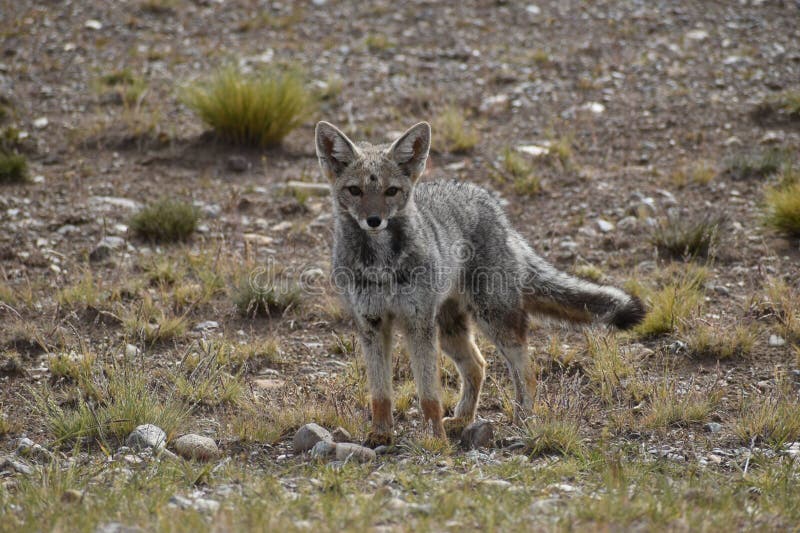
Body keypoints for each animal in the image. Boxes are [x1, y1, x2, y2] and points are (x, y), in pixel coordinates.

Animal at [315, 120, 646, 447]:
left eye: (391, 191)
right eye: (355, 191)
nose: (373, 220)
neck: (381, 264)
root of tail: (491, 204)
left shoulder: (417, 325)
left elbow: (429, 396)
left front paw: (434, 440)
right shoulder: (371, 325)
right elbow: (380, 393)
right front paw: (381, 434)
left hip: (491, 320)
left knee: (526, 373)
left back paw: (522, 420)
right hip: (450, 332)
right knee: (478, 366)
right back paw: (463, 419)